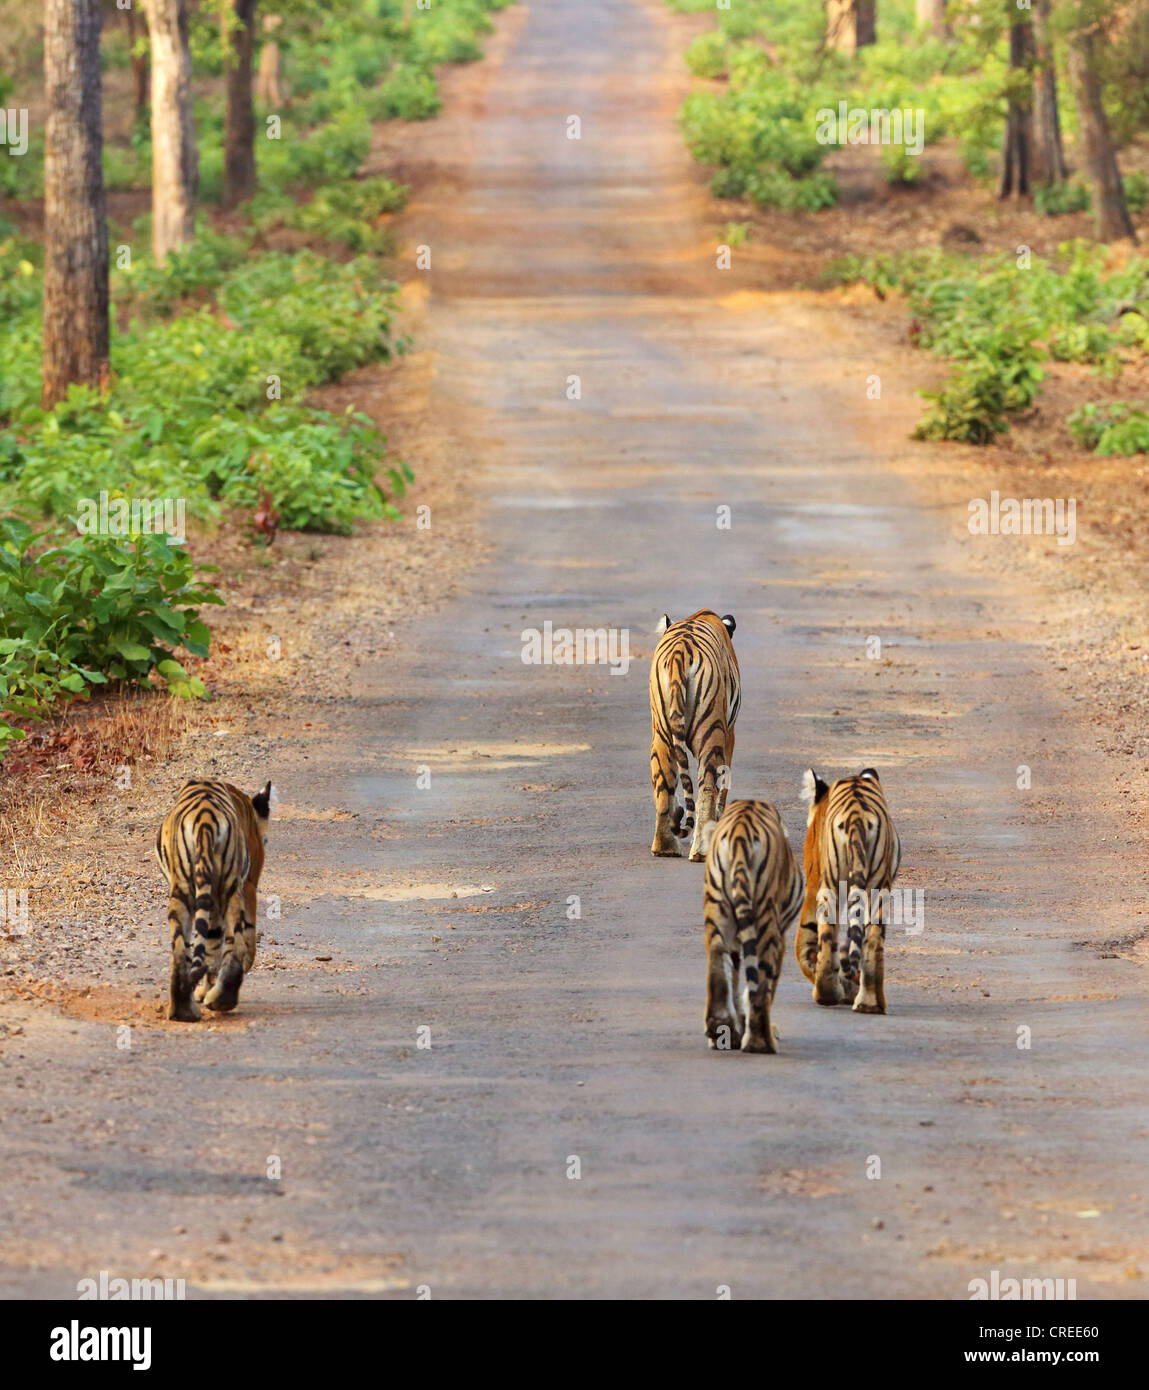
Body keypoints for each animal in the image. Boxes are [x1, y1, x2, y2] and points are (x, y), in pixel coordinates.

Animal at [155, 778, 272, 1022]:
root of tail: (206, 821)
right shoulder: (248, 884)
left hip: (183, 890)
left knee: (181, 949)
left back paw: (184, 1011)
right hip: (229, 889)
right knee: (235, 942)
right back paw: (220, 1000)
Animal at [648, 609, 740, 862]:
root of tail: (680, 650)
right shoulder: (729, 735)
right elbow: (722, 787)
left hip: (661, 735)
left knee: (663, 783)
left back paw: (665, 847)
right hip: (711, 732)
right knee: (708, 786)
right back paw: (701, 850)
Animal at [703, 800, 803, 1054]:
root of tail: (740, 830)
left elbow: (736, 978)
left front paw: (735, 1030)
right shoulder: (781, 936)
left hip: (717, 907)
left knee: (716, 954)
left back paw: (719, 1025)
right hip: (765, 921)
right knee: (761, 981)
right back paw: (761, 1042)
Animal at [796, 768, 901, 1014]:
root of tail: (856, 815)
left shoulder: (814, 882)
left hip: (833, 885)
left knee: (826, 938)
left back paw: (828, 994)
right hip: (877, 887)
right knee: (872, 939)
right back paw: (870, 1003)